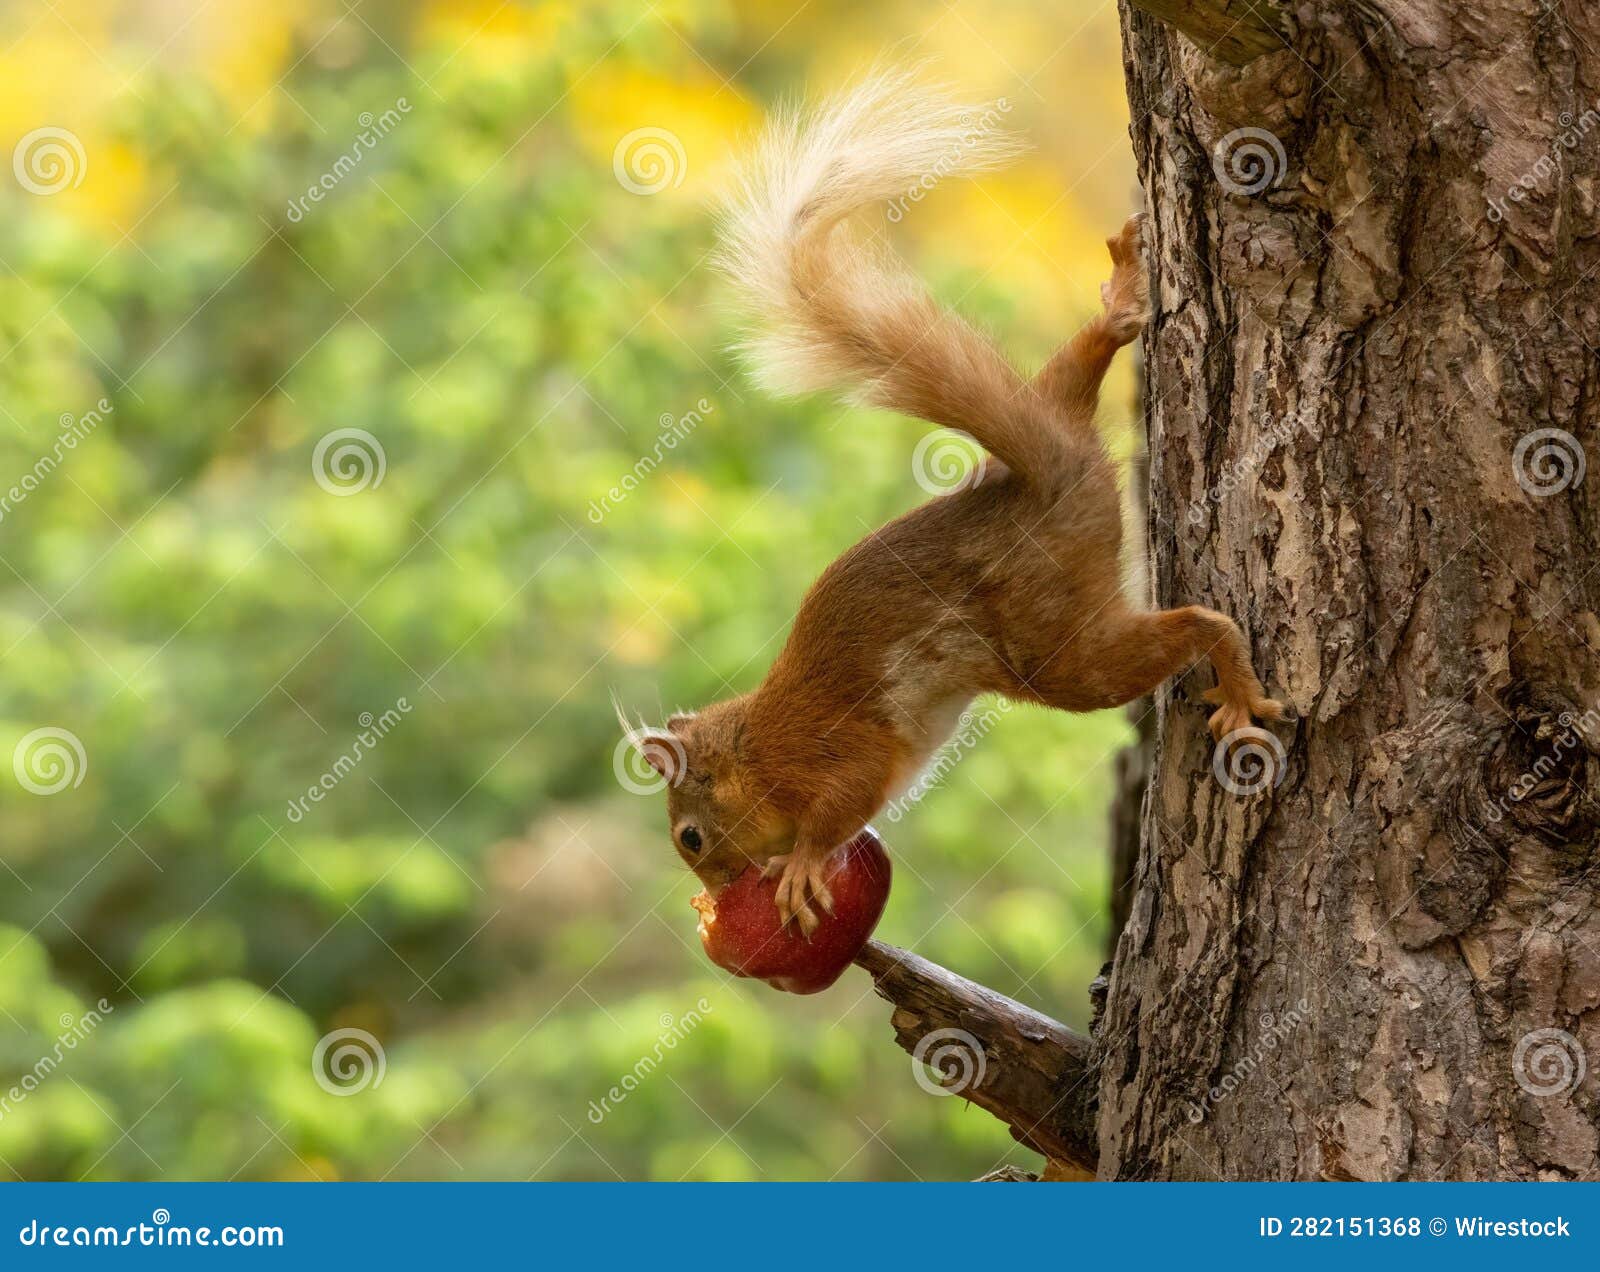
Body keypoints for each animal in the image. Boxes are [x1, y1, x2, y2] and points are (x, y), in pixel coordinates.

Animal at [623, 68, 1283, 935]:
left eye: (691, 836)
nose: (717, 890)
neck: (757, 750)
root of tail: (1049, 466)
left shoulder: (832, 755)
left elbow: (843, 804)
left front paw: (798, 868)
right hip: (1056, 433)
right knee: (1082, 362)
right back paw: (1120, 299)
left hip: (1052, 649)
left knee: (1195, 625)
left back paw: (1235, 683)